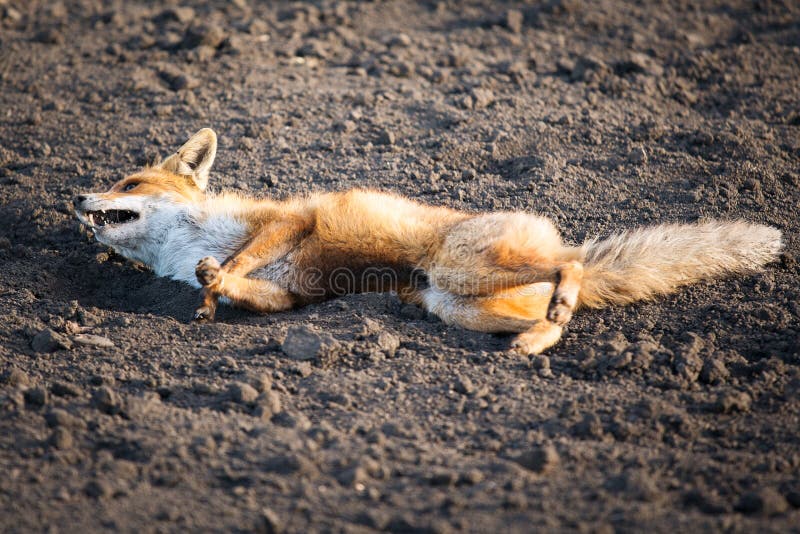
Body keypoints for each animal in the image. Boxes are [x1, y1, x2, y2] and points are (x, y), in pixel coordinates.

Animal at [73, 128, 783, 354]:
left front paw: (211, 285)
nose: (77, 200)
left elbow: (233, 264)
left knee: (571, 264)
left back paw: (559, 301)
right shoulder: (291, 297)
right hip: (460, 304)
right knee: (560, 305)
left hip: (466, 269)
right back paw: (539, 337)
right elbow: (241, 289)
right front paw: (208, 297)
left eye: (129, 182)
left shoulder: (286, 222)